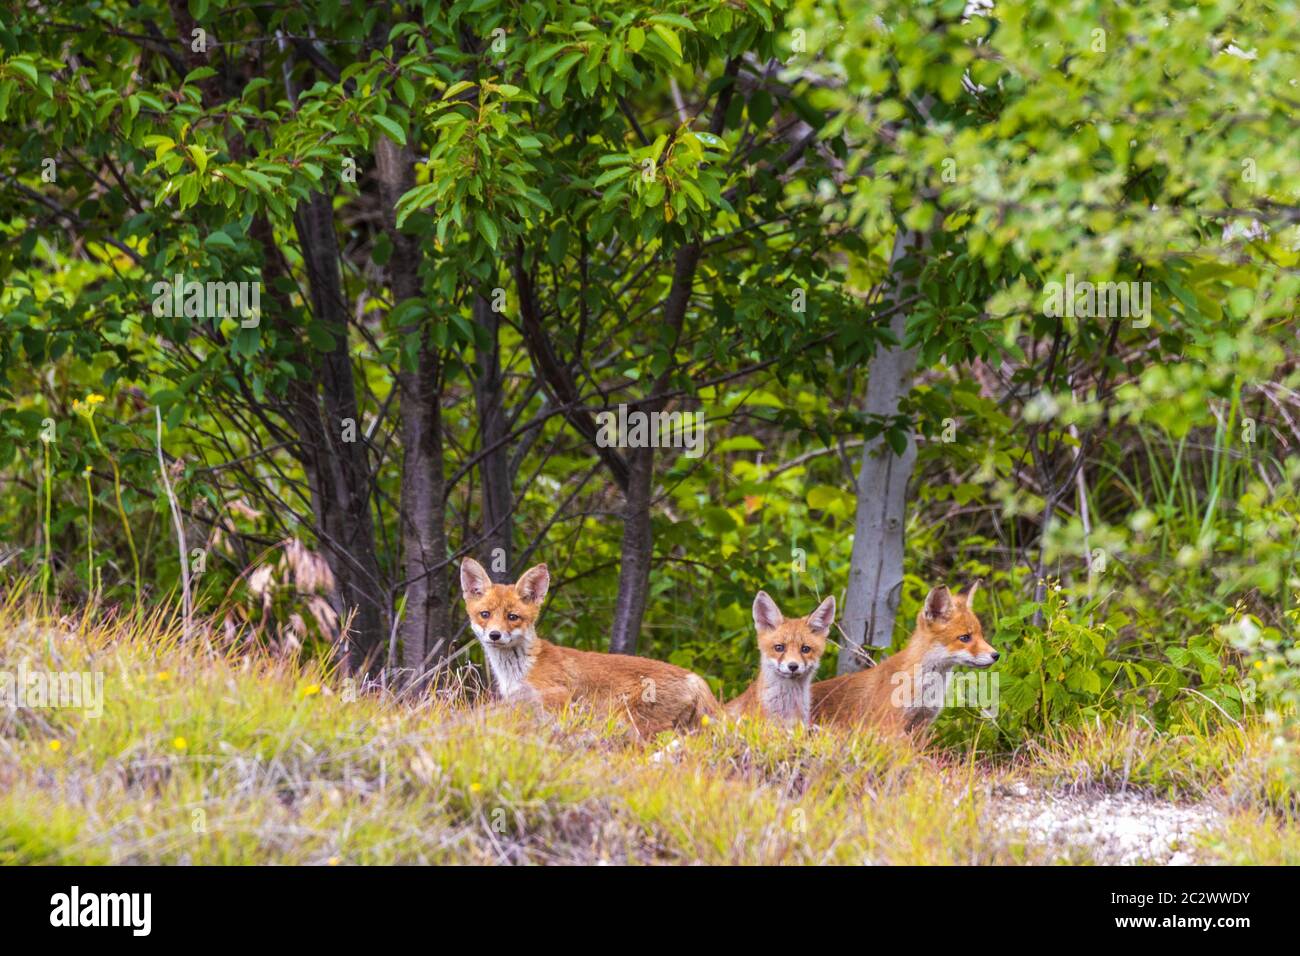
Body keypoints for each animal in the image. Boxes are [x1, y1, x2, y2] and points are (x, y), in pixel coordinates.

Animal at [459, 558, 720, 738]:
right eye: (485, 614)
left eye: (512, 617)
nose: (495, 635)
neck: (518, 670)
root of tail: (694, 677)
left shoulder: (558, 699)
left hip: (636, 725)